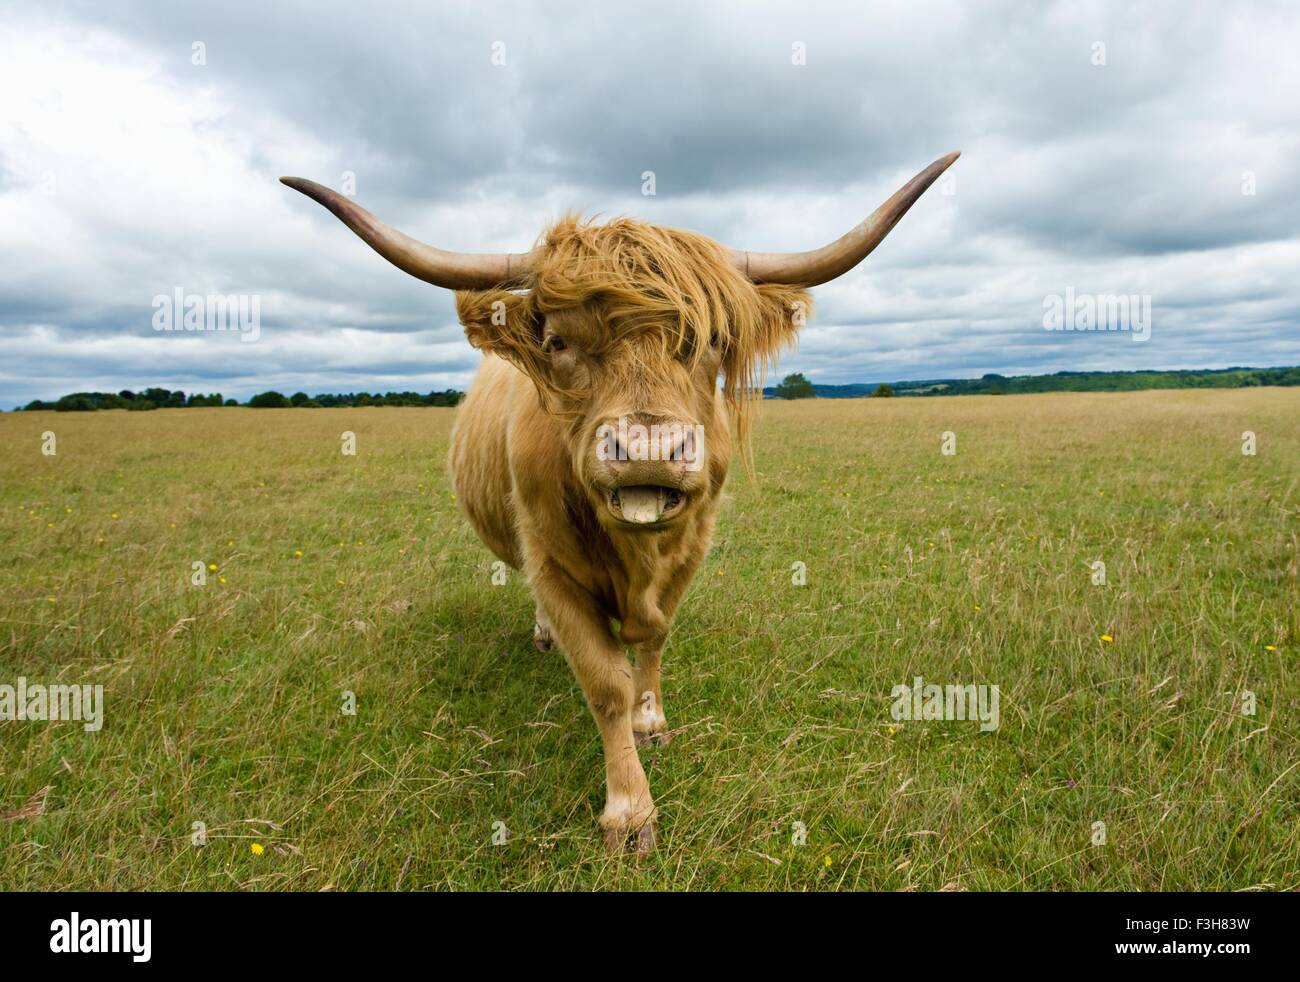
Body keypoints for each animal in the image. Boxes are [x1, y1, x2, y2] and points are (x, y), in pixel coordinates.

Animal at [281, 152, 959, 854]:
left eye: (710, 341)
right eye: (557, 342)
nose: (647, 449)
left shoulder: (693, 547)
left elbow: (653, 637)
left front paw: (650, 720)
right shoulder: (551, 563)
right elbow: (604, 680)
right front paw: (630, 810)